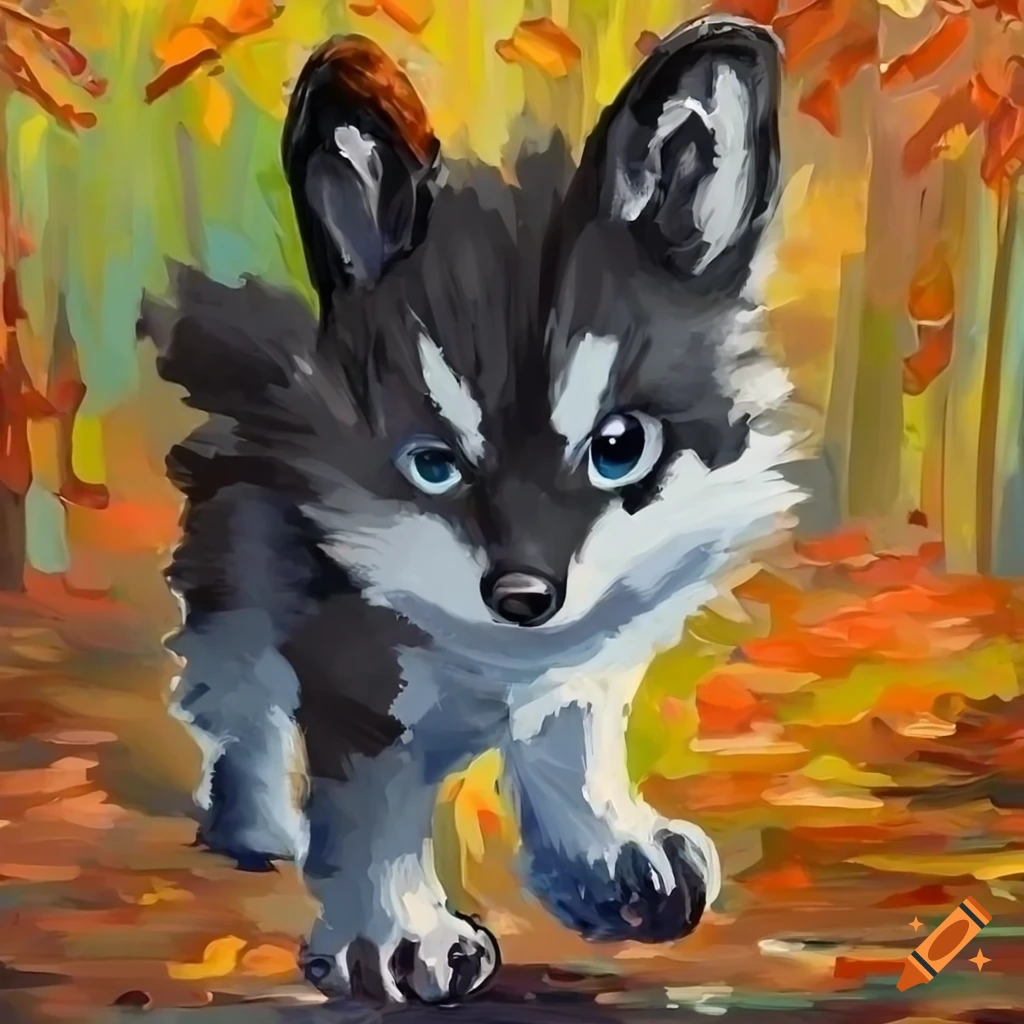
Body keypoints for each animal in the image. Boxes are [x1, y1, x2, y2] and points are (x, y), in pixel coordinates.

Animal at [140, 14, 803, 1006]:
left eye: (620, 447)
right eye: (434, 466)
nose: (524, 594)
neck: (492, 661)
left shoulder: (579, 672)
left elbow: (574, 744)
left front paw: (612, 858)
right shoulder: (353, 678)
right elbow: (372, 812)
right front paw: (397, 935)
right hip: (240, 594)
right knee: (237, 702)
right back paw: (258, 826)